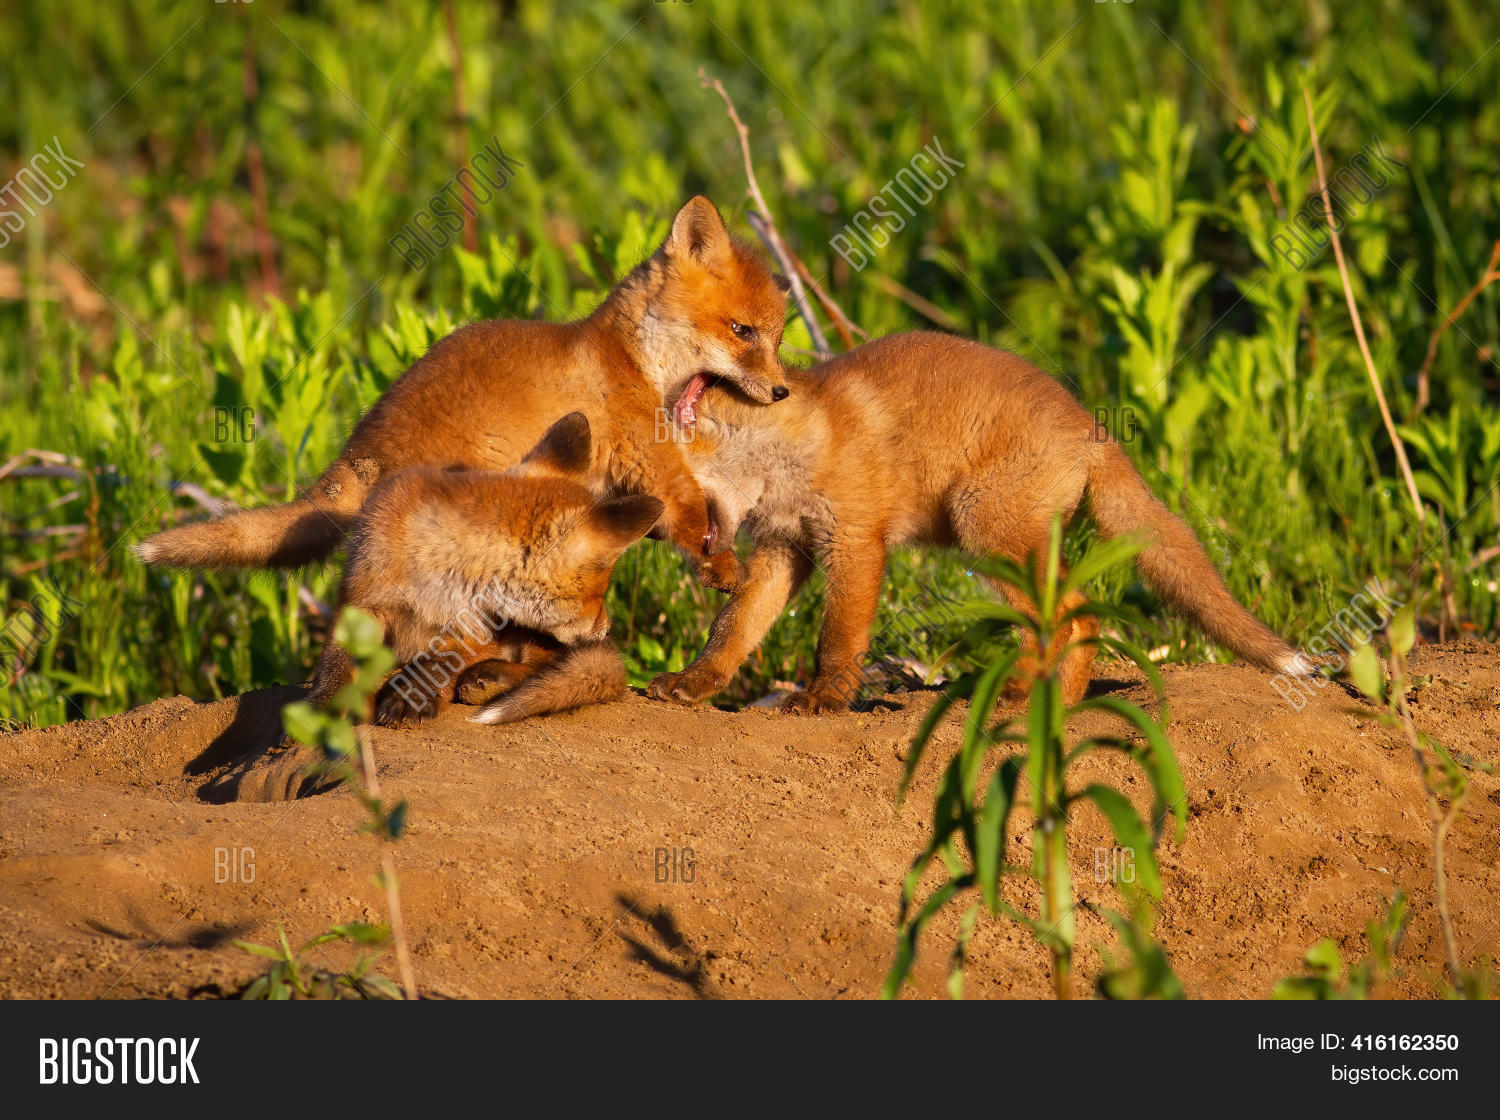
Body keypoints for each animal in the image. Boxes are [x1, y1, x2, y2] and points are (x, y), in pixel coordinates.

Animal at [134, 197, 790, 593]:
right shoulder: (645, 456)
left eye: (779, 338)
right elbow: (691, 514)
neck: (626, 358)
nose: (782, 389)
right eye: (742, 332)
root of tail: (359, 453)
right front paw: (723, 567)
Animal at [306, 412, 662, 728]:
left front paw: (413, 696)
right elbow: (338, 662)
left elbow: (437, 664)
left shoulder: (475, 633)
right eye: (599, 590)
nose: (608, 629)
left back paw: (490, 680)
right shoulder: (362, 597)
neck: (437, 586)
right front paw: (327, 708)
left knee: (546, 666)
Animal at [645, 330, 1308, 713]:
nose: (645, 531)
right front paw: (695, 683)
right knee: (1075, 616)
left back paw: (1031, 695)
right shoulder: (784, 549)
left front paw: (824, 698)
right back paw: (1049, 698)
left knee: (1075, 613)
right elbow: (733, 630)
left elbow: (838, 640)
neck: (785, 459)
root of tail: (1091, 424)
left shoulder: (854, 543)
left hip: (982, 528)